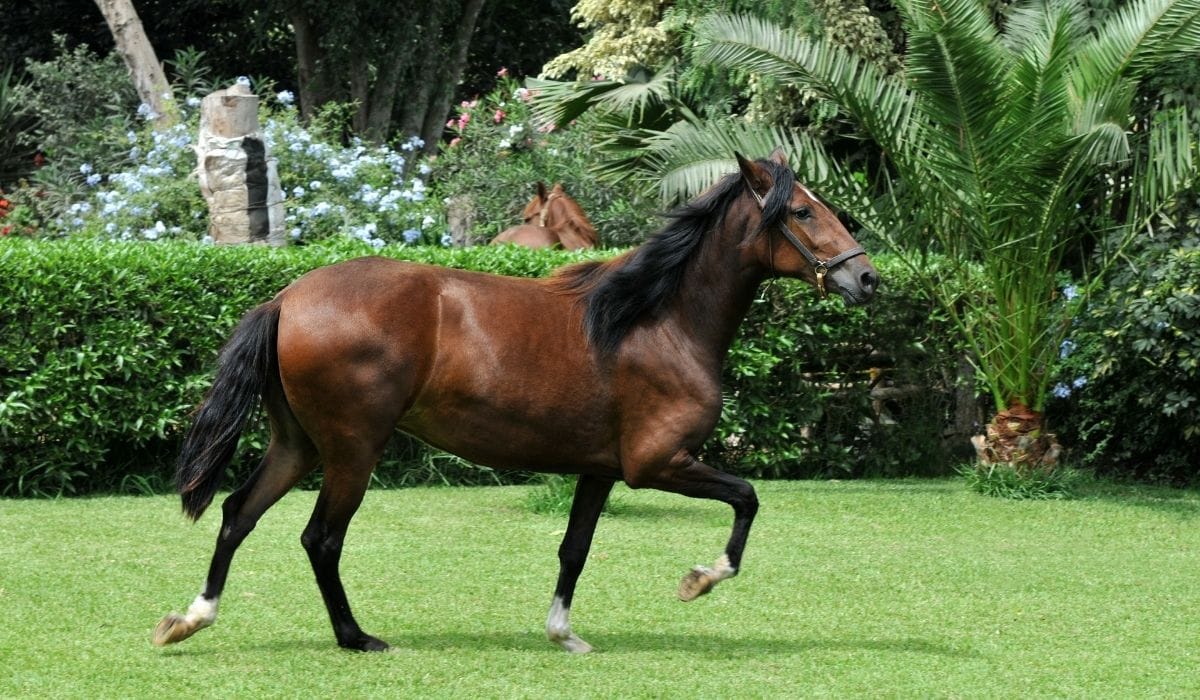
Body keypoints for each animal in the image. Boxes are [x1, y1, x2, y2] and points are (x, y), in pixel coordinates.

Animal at [153, 149, 879, 654]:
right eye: (803, 211)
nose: (867, 277)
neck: (656, 320)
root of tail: (285, 299)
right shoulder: (657, 463)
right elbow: (747, 498)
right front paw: (700, 578)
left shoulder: (599, 470)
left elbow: (574, 550)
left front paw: (564, 634)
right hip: (353, 450)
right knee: (320, 538)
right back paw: (355, 637)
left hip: (299, 445)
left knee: (237, 514)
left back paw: (189, 619)